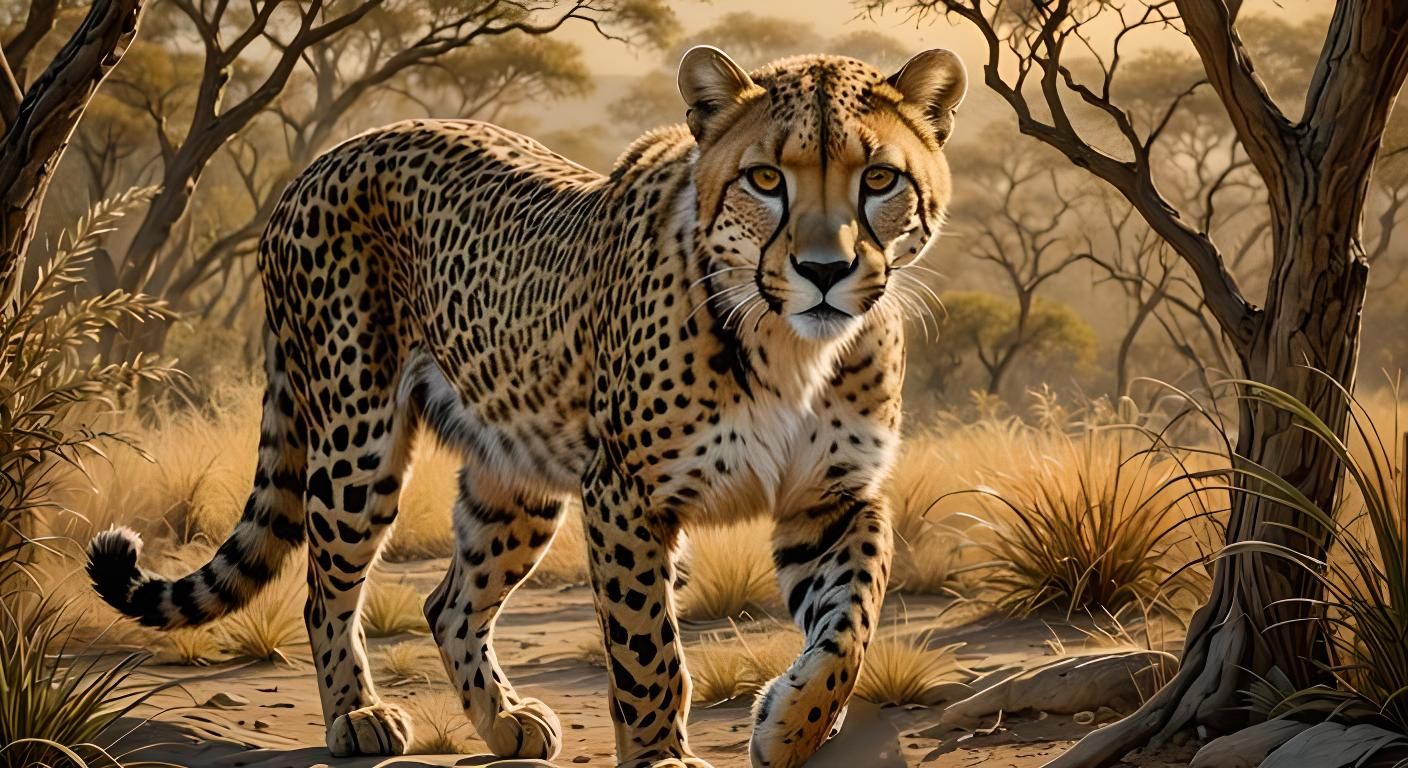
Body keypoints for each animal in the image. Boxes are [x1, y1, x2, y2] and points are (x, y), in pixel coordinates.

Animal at [87, 45, 966, 768]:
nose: (824, 270)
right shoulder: (627, 495)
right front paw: (662, 757)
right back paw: (357, 716)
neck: (790, 344)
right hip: (358, 445)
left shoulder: (831, 498)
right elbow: (647, 649)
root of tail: (325, 157)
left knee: (449, 602)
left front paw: (789, 729)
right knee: (324, 590)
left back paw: (504, 720)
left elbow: (850, 628)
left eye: (879, 179)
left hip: (517, 476)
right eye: (766, 179)